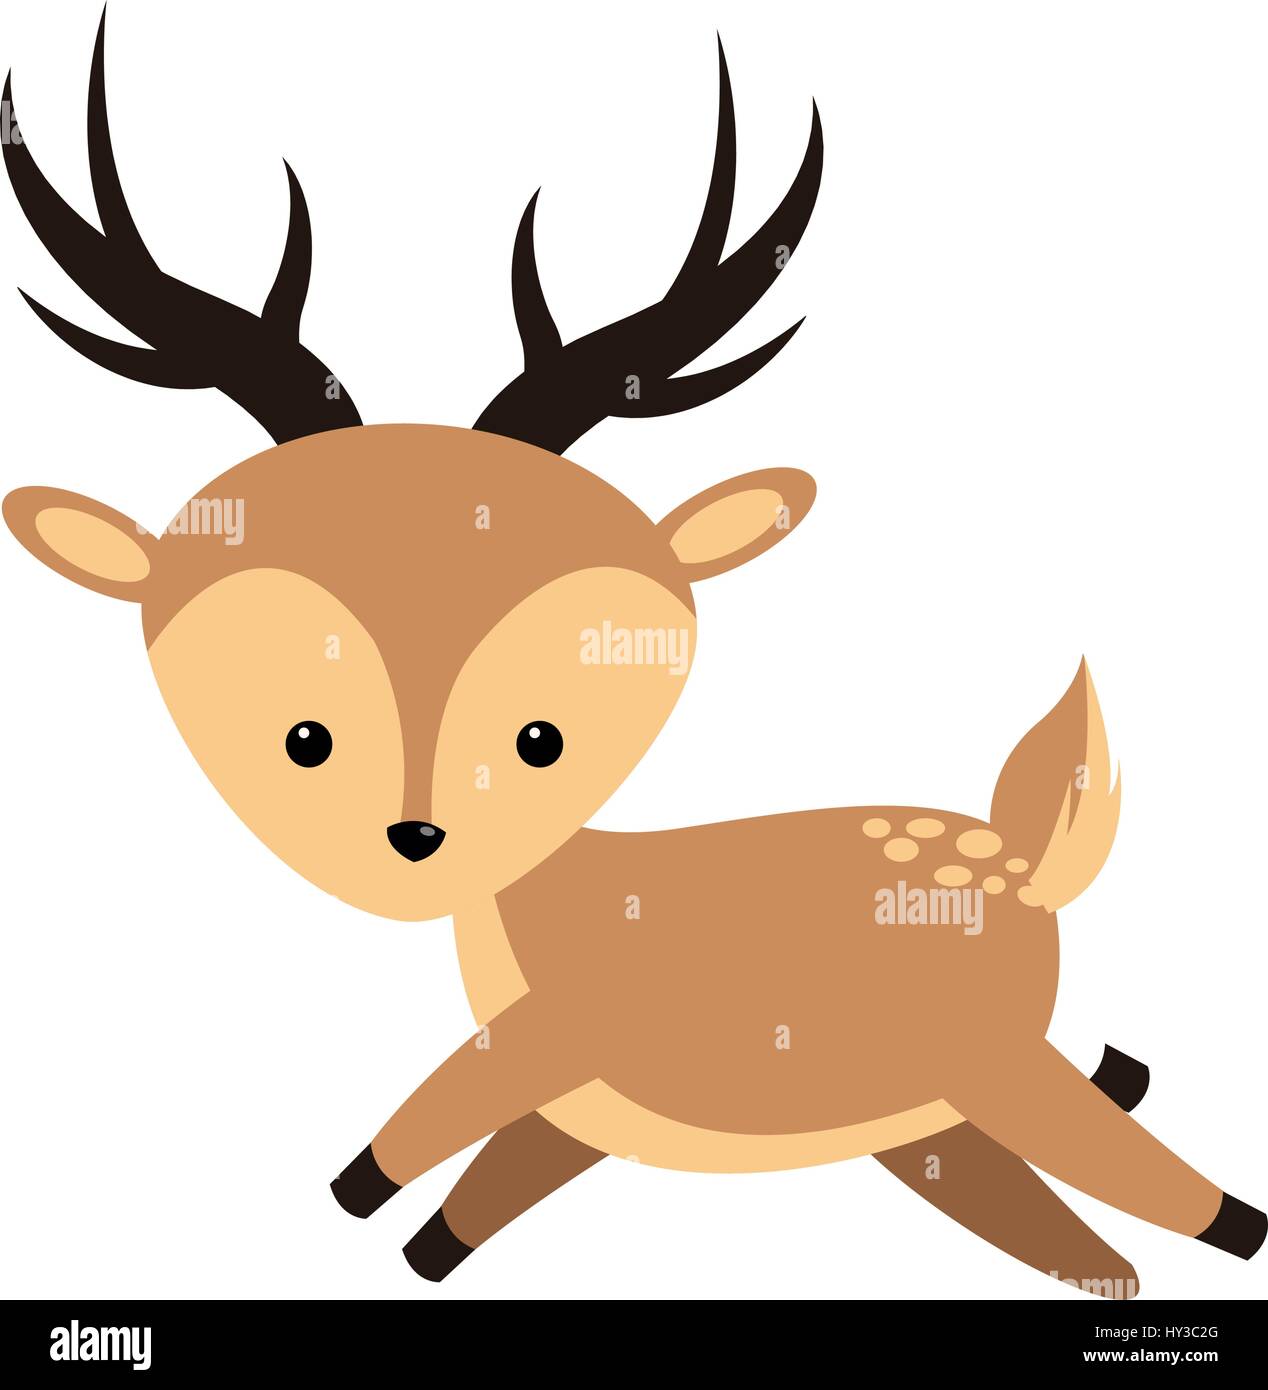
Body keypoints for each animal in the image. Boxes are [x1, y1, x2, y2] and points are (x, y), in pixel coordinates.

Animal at [3, 12, 1262, 1298]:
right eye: (302, 735)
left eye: (541, 736)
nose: (413, 841)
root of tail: (1025, 853)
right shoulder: (564, 1121)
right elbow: (444, 1222)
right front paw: (373, 1204)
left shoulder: (555, 1042)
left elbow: (446, 1106)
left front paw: (361, 1178)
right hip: (939, 1128)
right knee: (1097, 1234)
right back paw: (1131, 1090)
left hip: (988, 1084)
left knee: (1166, 1206)